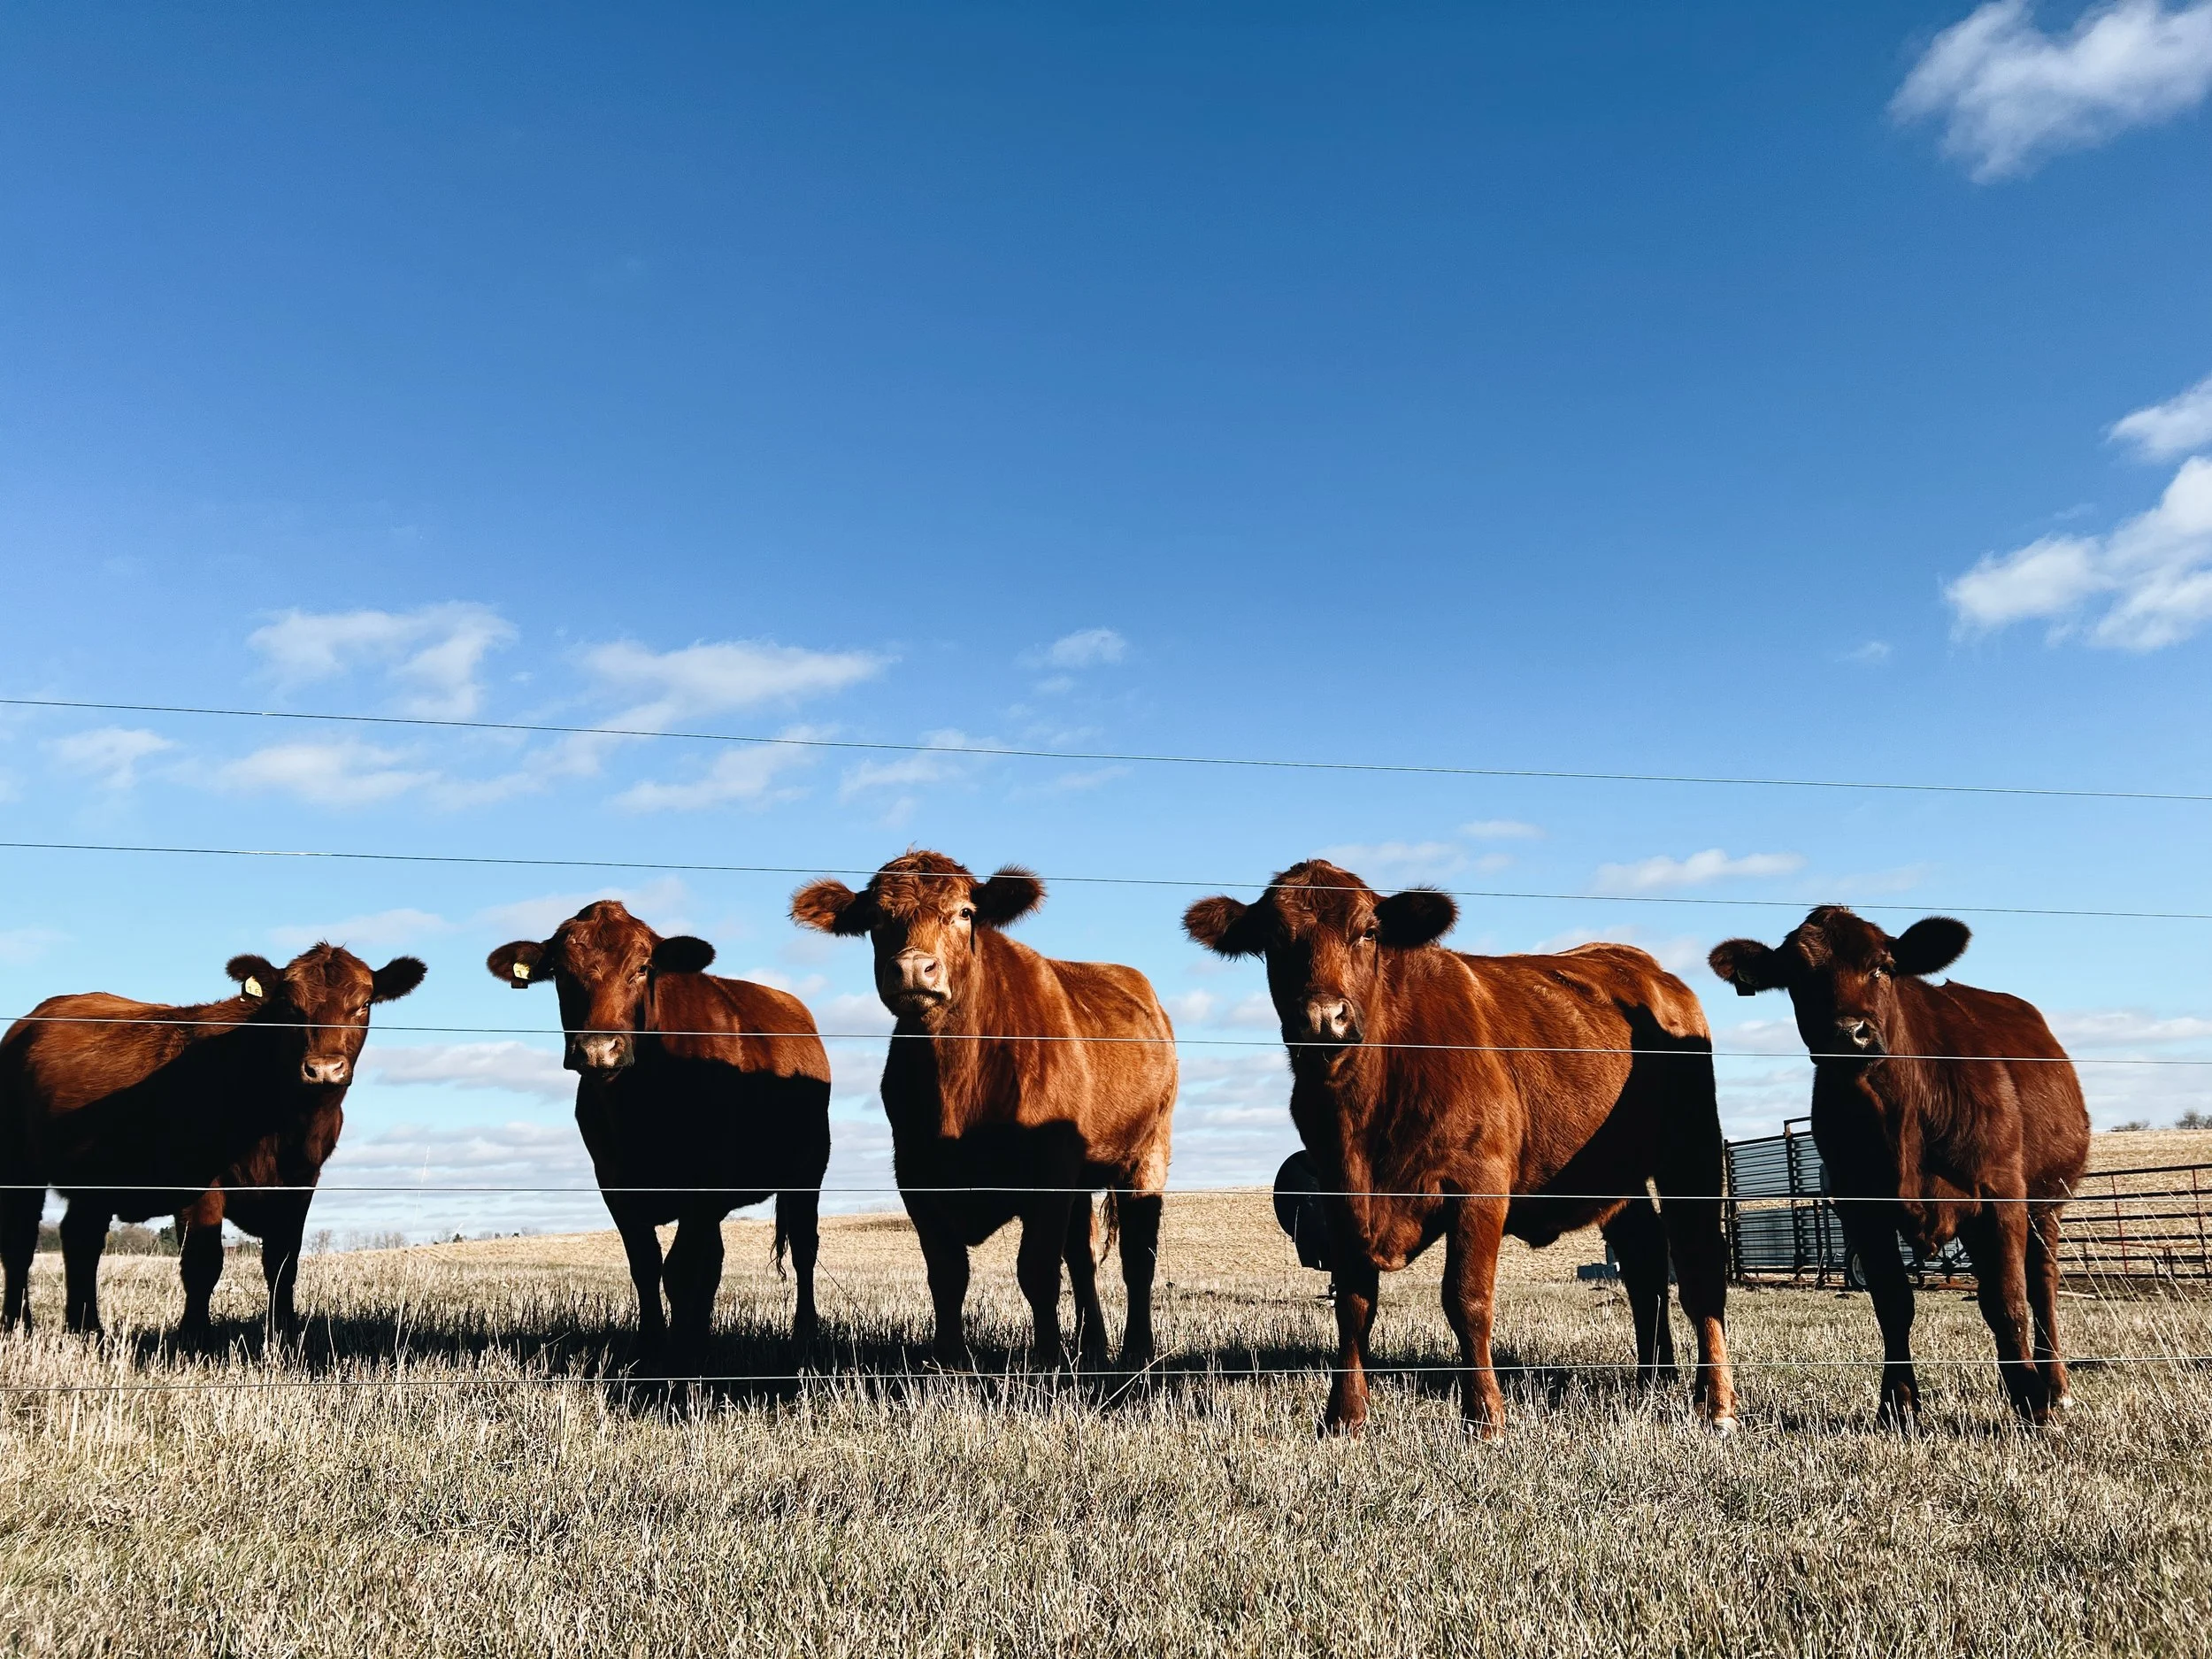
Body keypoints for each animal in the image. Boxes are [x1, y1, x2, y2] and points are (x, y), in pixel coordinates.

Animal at [0, 944, 425, 1337]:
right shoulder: (200, 1182)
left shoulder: (301, 1182)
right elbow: (203, 1262)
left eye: (364, 1004)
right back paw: (18, 1325)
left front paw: (283, 1331)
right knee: (21, 1240)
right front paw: (194, 1338)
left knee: (80, 1239)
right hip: (20, 1166)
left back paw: (87, 1330)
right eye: (290, 1007)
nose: (324, 1069)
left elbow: (283, 1261)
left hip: (95, 1179)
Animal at [487, 900, 831, 1373]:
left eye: (642, 968)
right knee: (716, 1260)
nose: (598, 1049)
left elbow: (680, 1271)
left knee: (803, 1248)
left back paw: (803, 1334)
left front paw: (679, 1363)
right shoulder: (615, 1184)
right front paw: (651, 1350)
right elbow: (646, 1266)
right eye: (560, 972)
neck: (639, 1106)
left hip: (808, 1171)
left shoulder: (703, 1181)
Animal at [790, 852, 1176, 1374]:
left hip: (1147, 1154)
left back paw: (1137, 1351)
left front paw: (1048, 1362)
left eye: (965, 913)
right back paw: (1092, 1347)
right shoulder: (916, 1174)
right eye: (875, 918)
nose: (914, 969)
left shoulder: (1048, 1172)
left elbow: (1037, 1270)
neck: (958, 1085)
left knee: (1138, 1255)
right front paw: (948, 1362)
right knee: (1083, 1256)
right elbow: (948, 1273)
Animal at [1184, 860, 1736, 1437]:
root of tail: (1642, 966)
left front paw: (1486, 1415)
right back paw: (1656, 1379)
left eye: (1369, 932)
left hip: (1690, 1151)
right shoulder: (1339, 1195)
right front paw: (1345, 1416)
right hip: (1616, 1174)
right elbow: (1354, 1303)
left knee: (1697, 1262)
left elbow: (1466, 1297)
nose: (1323, 1018)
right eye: (1274, 939)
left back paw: (1715, 1402)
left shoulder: (1479, 1186)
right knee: (1645, 1260)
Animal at [1709, 907, 2089, 1430]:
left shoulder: (2001, 1195)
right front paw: (1899, 1404)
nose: (1848, 1034)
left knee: (2043, 1284)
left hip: (2048, 1200)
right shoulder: (1859, 1206)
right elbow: (1893, 1303)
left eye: (1882, 967)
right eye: (1797, 976)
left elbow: (2008, 1299)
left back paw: (2056, 1386)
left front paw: (2031, 1401)